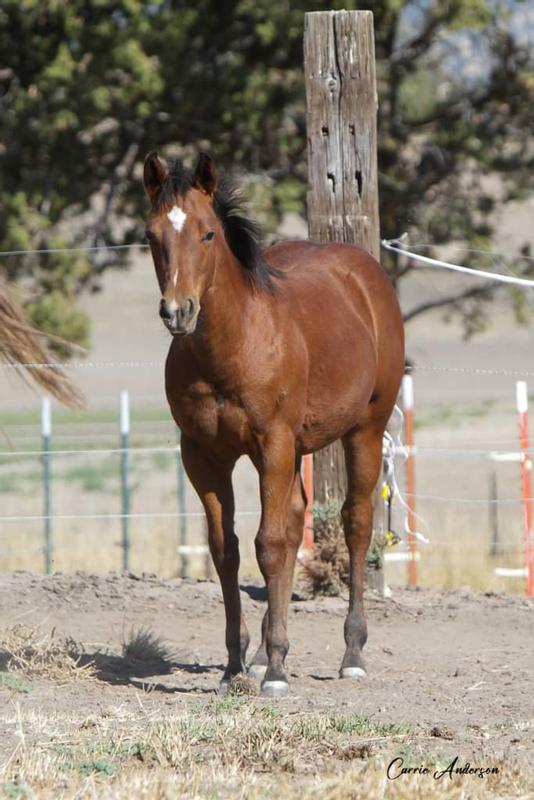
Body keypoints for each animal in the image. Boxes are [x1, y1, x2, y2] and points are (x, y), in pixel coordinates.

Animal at [143, 151, 404, 697]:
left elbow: (270, 544)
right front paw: (237, 665)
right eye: (152, 235)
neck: (235, 344)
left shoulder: (273, 445)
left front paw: (278, 672)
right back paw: (265, 651)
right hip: (299, 446)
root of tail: (363, 271)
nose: (178, 312)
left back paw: (352, 653)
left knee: (356, 523)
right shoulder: (202, 455)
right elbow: (227, 550)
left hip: (364, 430)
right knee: (296, 518)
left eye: (207, 233)